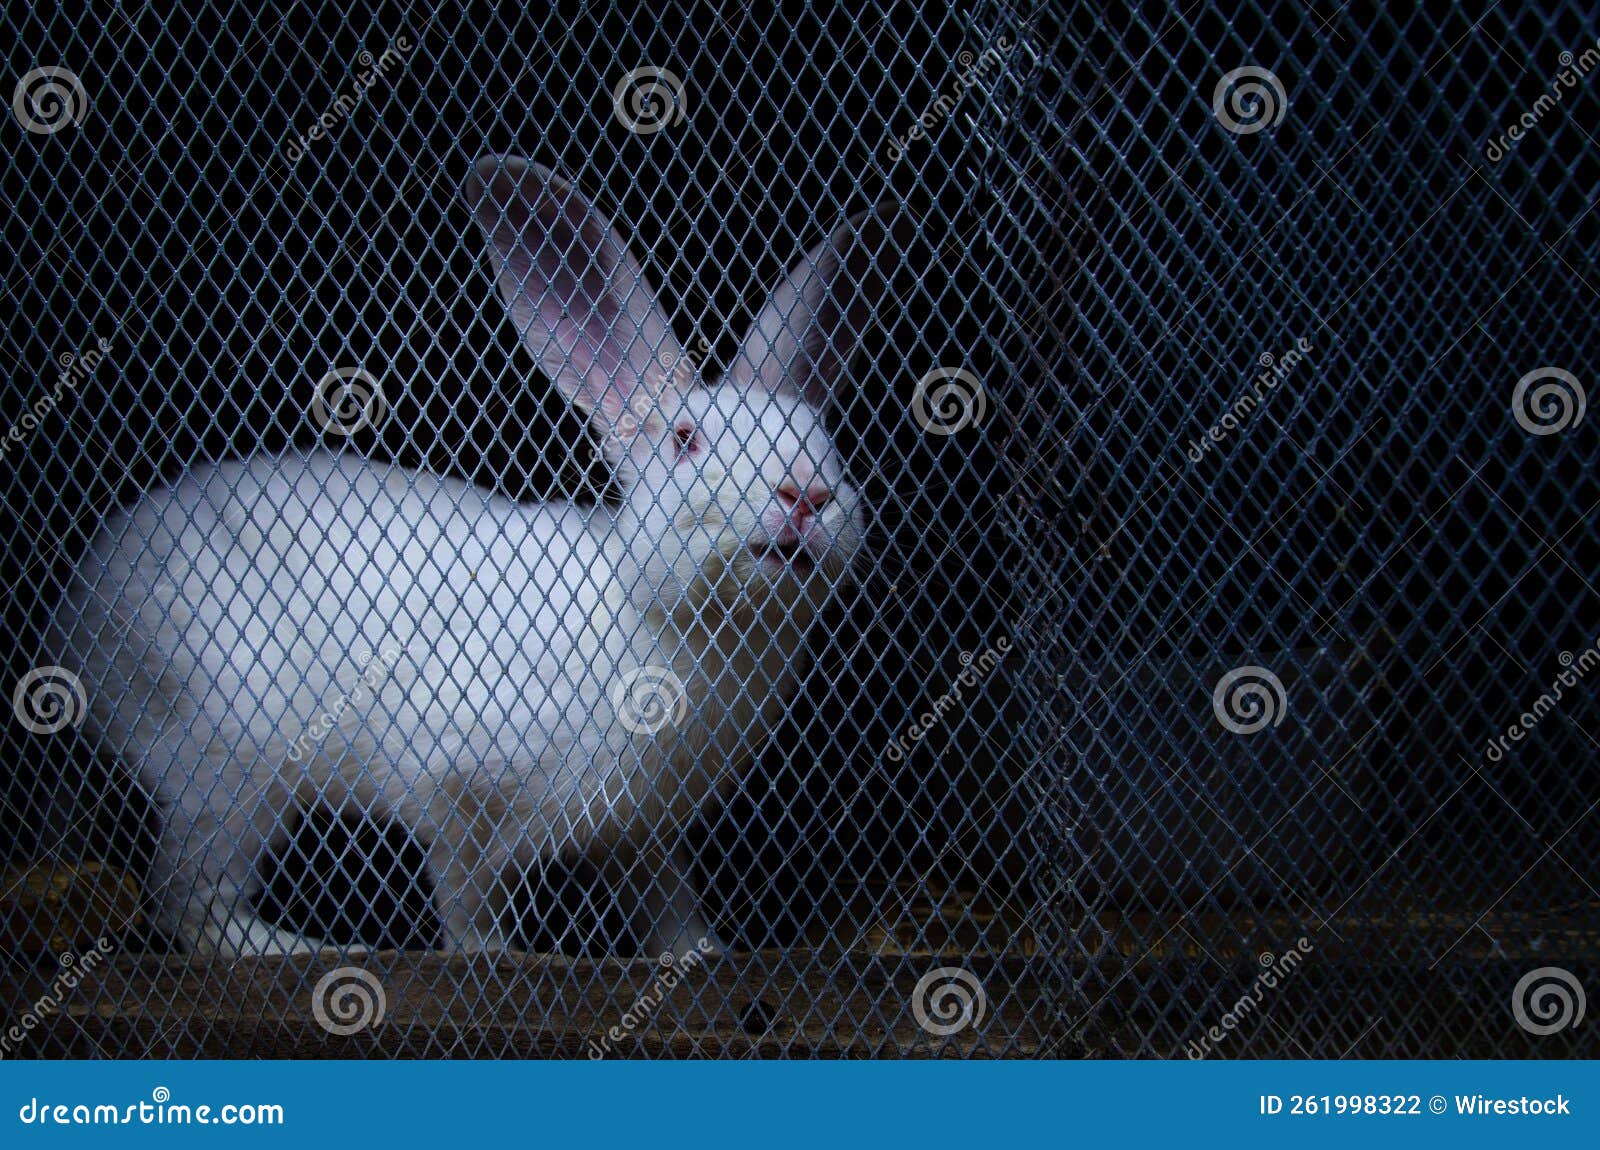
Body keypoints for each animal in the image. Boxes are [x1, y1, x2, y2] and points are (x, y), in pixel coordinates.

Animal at [44, 154, 898, 959]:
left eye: (824, 436)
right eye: (687, 440)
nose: (807, 493)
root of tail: (76, 614)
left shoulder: (641, 834)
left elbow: (665, 900)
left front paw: (701, 955)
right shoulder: (456, 789)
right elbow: (464, 895)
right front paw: (493, 954)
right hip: (230, 766)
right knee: (189, 902)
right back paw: (309, 948)